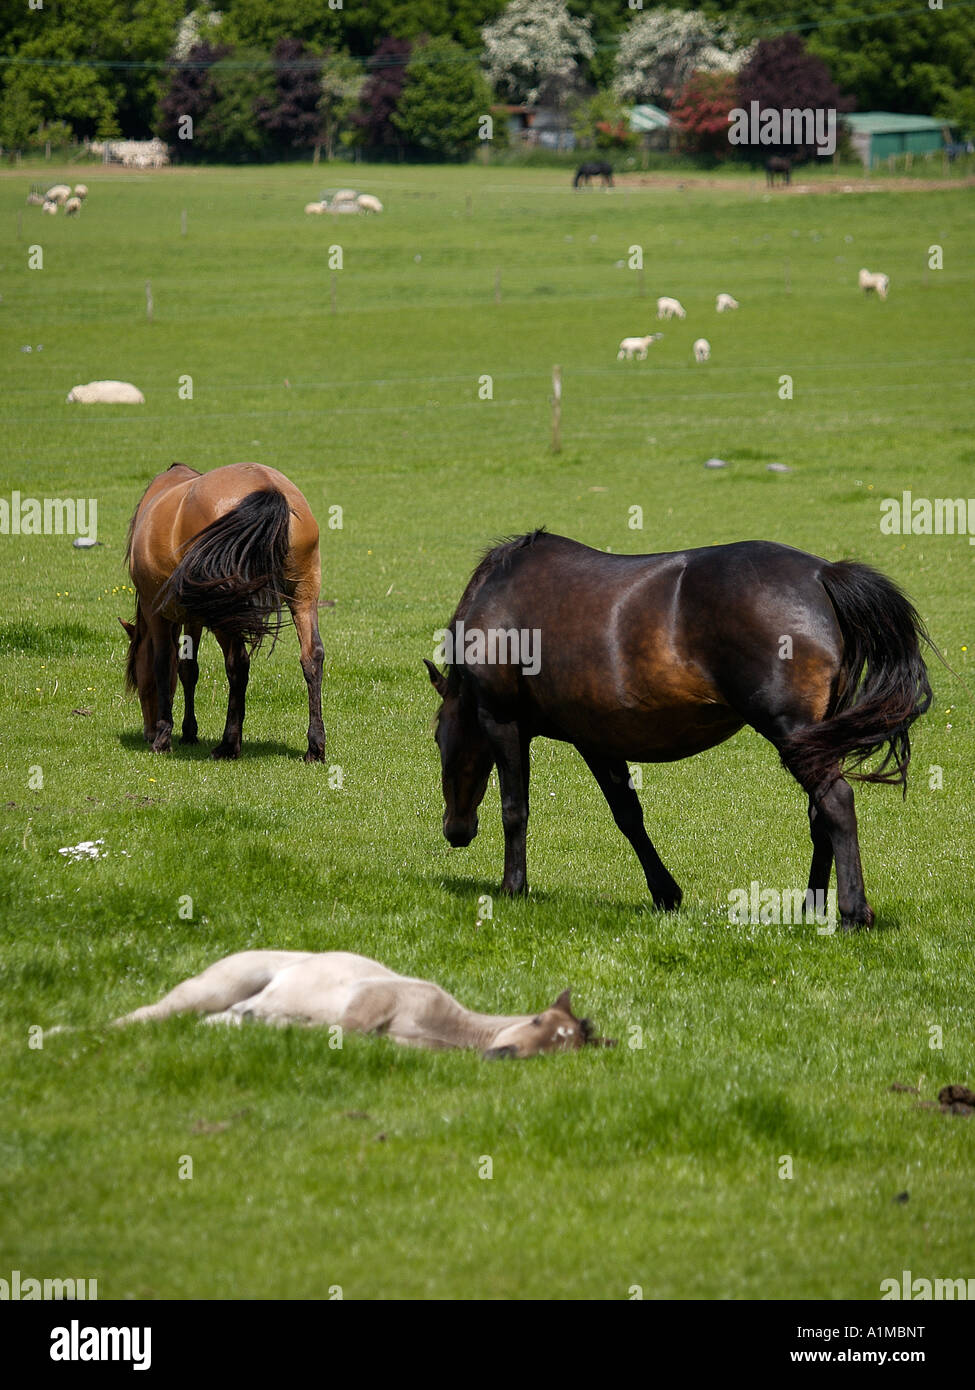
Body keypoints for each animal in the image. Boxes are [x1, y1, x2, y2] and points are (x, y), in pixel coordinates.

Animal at [123, 462, 325, 762]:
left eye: (137, 678)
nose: (147, 731)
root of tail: (269, 487)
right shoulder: (191, 618)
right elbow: (187, 669)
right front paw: (188, 732)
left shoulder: (156, 611)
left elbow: (163, 664)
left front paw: (163, 736)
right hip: (302, 596)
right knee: (311, 658)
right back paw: (315, 746)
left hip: (224, 612)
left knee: (238, 664)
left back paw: (229, 744)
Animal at [425, 531, 933, 930]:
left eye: (437, 738)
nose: (455, 830)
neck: (499, 602)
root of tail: (821, 574)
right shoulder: (596, 739)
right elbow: (628, 815)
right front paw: (665, 893)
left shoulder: (503, 722)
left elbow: (515, 810)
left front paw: (513, 887)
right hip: (815, 739)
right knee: (819, 815)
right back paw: (811, 907)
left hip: (793, 733)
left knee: (836, 804)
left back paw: (852, 914)